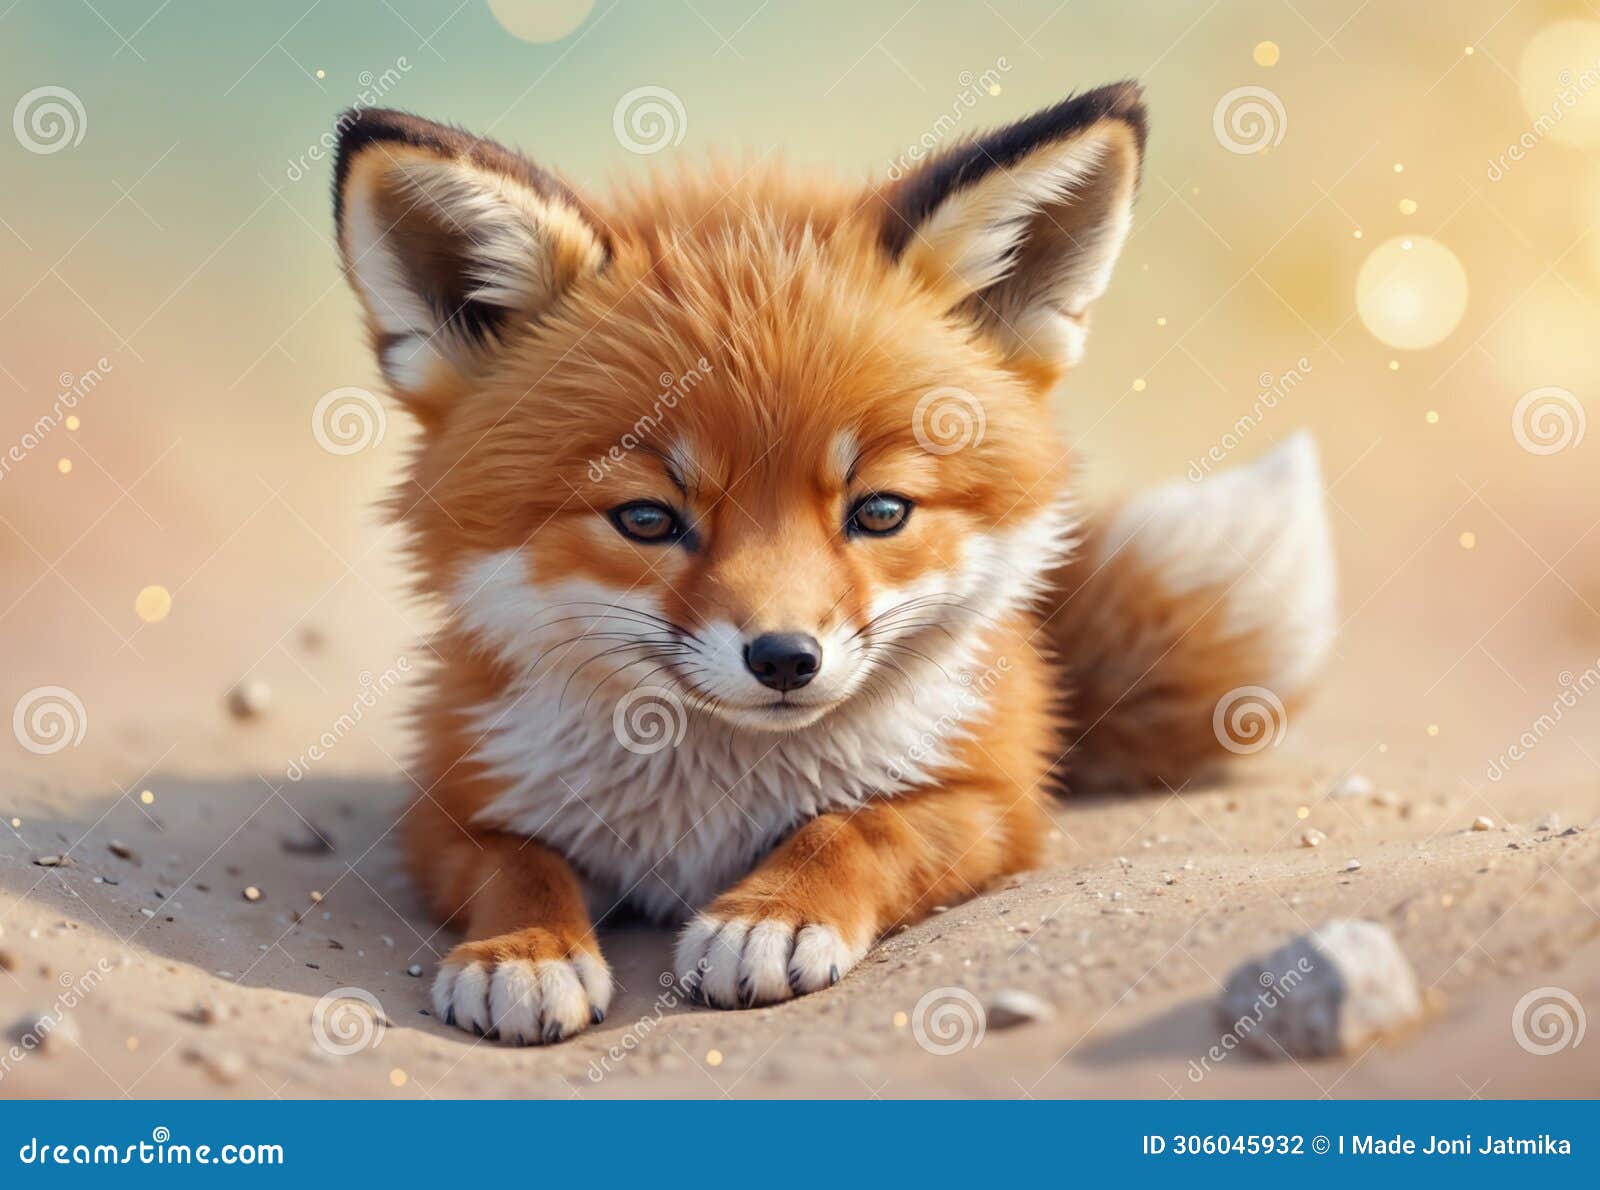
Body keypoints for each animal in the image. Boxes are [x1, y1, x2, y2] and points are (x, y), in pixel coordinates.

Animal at [329, 81, 1335, 1045]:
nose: (784, 659)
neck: (706, 804)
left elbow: (856, 825)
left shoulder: (991, 799)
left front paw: (772, 913)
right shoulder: (453, 801)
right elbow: (520, 863)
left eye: (881, 510)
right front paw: (524, 951)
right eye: (647, 518)